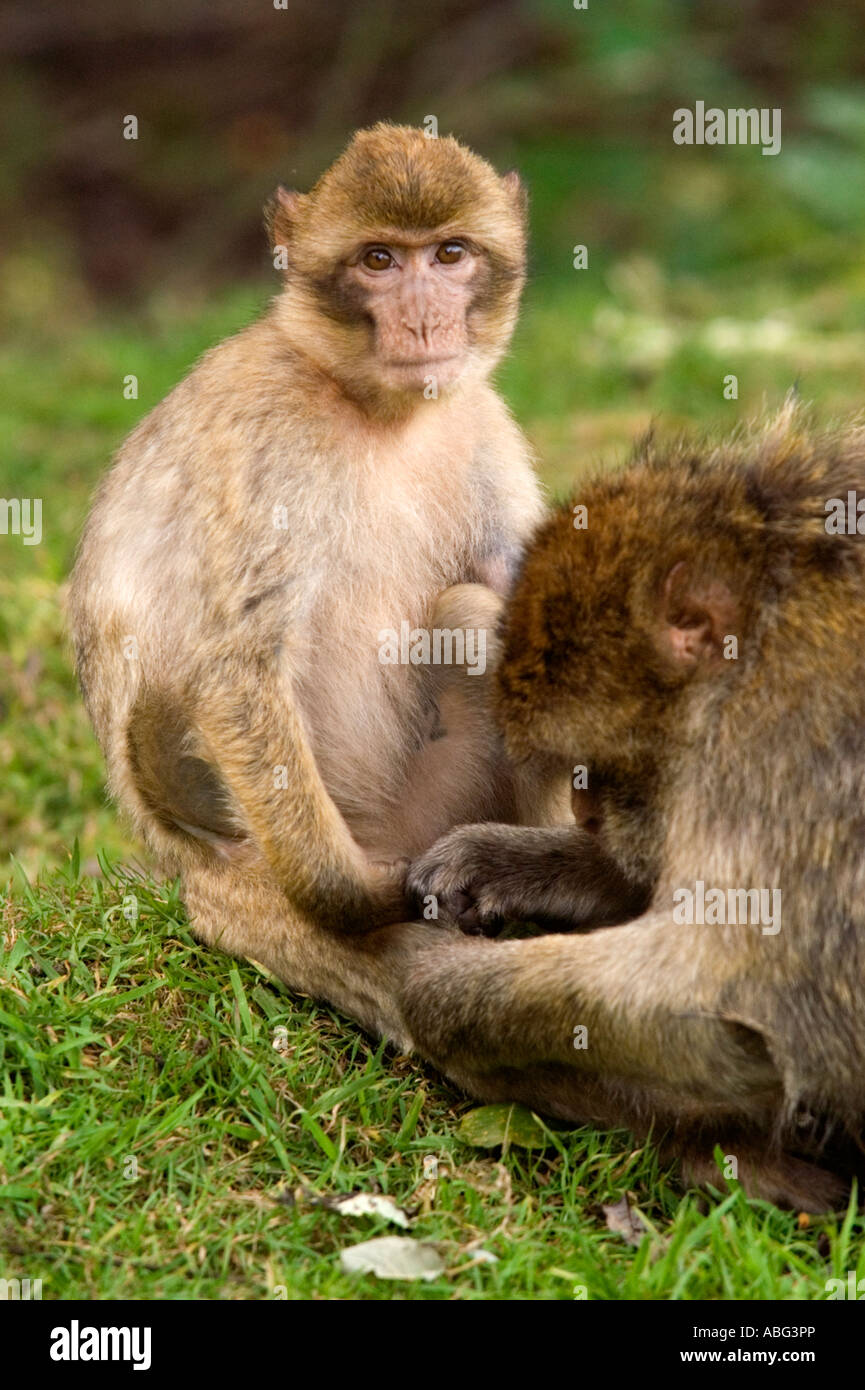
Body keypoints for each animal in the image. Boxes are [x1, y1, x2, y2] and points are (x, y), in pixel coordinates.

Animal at [406, 407, 865, 1209]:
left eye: (599, 765)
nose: (585, 812)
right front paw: (493, 861)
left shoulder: (785, 762)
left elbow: (716, 991)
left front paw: (443, 999)